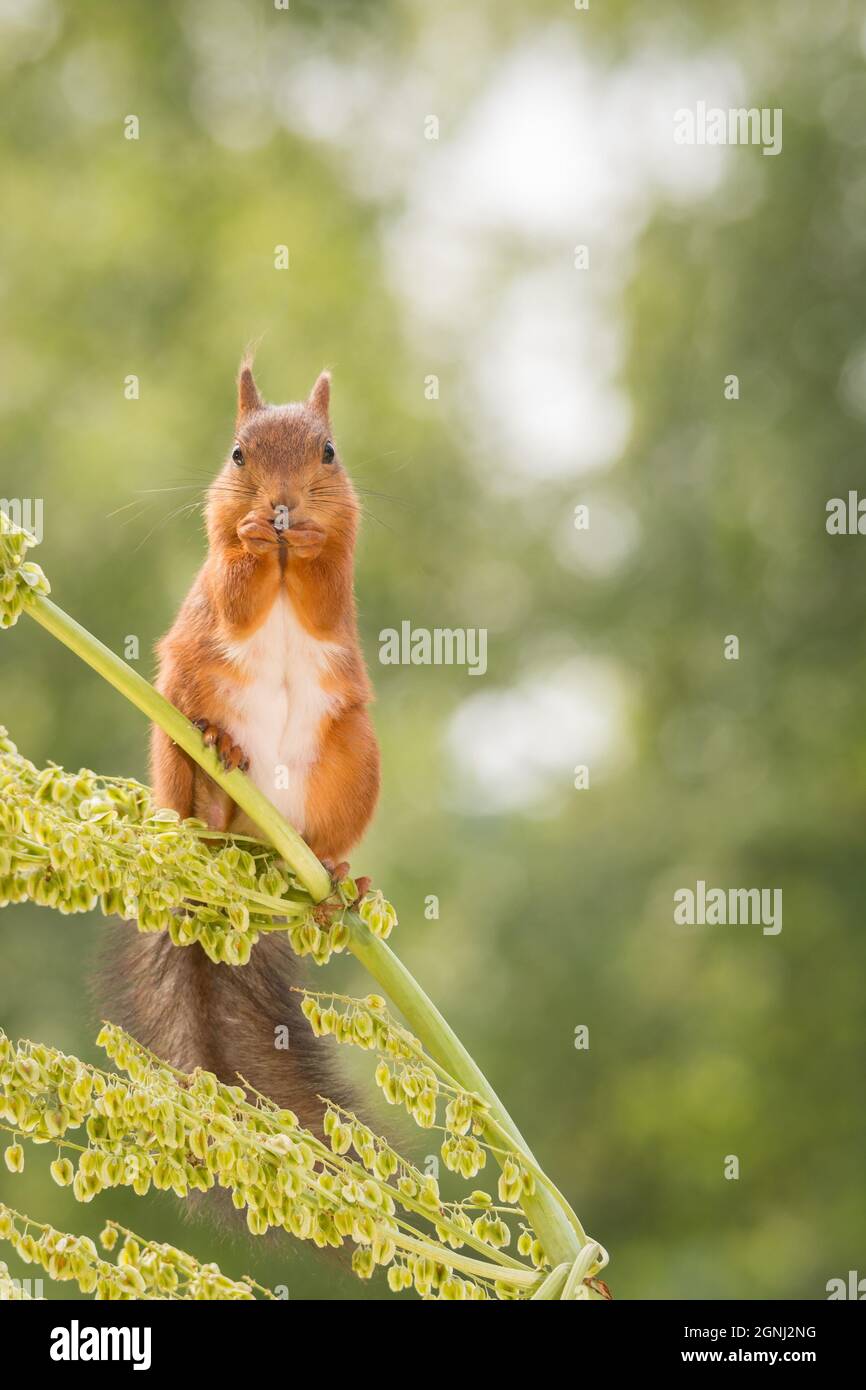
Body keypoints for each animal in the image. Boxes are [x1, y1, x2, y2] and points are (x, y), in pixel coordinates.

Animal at [103, 359, 380, 1128]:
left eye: (329, 452)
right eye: (237, 455)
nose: (283, 505)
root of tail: (254, 846)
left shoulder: (343, 566)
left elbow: (324, 592)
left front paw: (305, 538)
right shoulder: (217, 555)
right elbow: (234, 591)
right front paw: (258, 533)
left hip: (353, 767)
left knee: (321, 845)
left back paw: (334, 880)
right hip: (172, 740)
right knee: (197, 795)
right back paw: (214, 765)